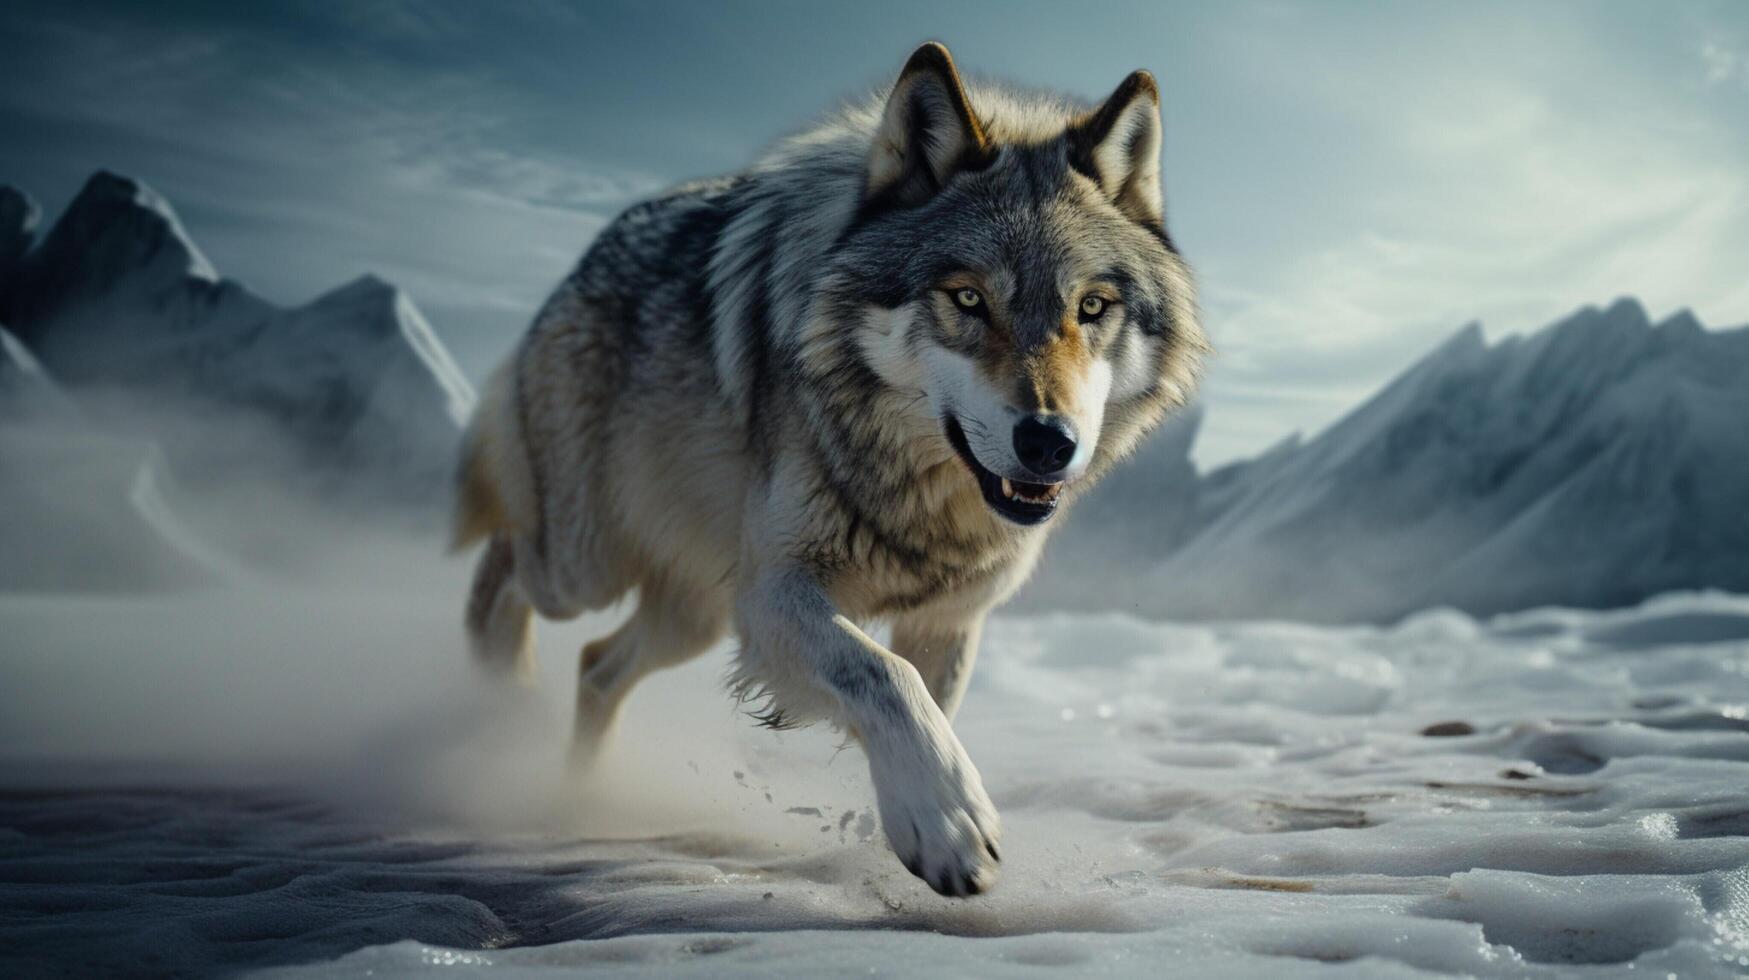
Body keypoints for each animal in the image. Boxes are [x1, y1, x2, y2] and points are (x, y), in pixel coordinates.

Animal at [453, 42, 1205, 897]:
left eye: (1091, 308)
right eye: (967, 299)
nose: (1048, 441)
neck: (923, 502)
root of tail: (587, 255)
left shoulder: (947, 621)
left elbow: (924, 701)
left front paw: (904, 835)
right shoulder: (777, 593)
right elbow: (883, 677)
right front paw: (948, 823)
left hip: (695, 612)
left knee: (595, 665)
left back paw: (575, 798)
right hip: (588, 567)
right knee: (502, 568)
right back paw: (503, 709)